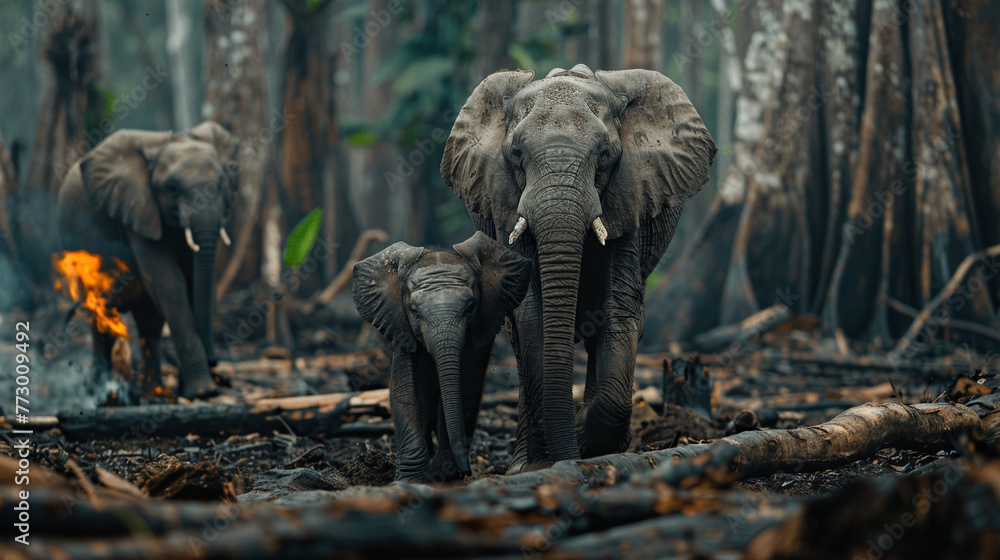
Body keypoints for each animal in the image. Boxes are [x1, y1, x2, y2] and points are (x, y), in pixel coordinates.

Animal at [57, 121, 239, 400]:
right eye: (172, 188)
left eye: (221, 183)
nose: (216, 364)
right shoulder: (138, 208)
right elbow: (169, 283)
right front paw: (203, 392)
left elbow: (195, 281)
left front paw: (194, 390)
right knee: (100, 319)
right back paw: (103, 394)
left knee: (149, 324)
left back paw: (156, 394)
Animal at [352, 232, 531, 482]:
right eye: (414, 311)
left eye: (470, 307)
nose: (467, 471)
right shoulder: (400, 327)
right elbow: (404, 392)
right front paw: (410, 480)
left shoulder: (482, 325)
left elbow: (465, 390)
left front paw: (440, 473)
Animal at [441, 64, 716, 471]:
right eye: (516, 154)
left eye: (604, 155)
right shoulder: (506, 205)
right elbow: (531, 315)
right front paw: (547, 462)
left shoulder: (629, 198)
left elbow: (620, 310)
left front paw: (589, 439)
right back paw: (524, 464)